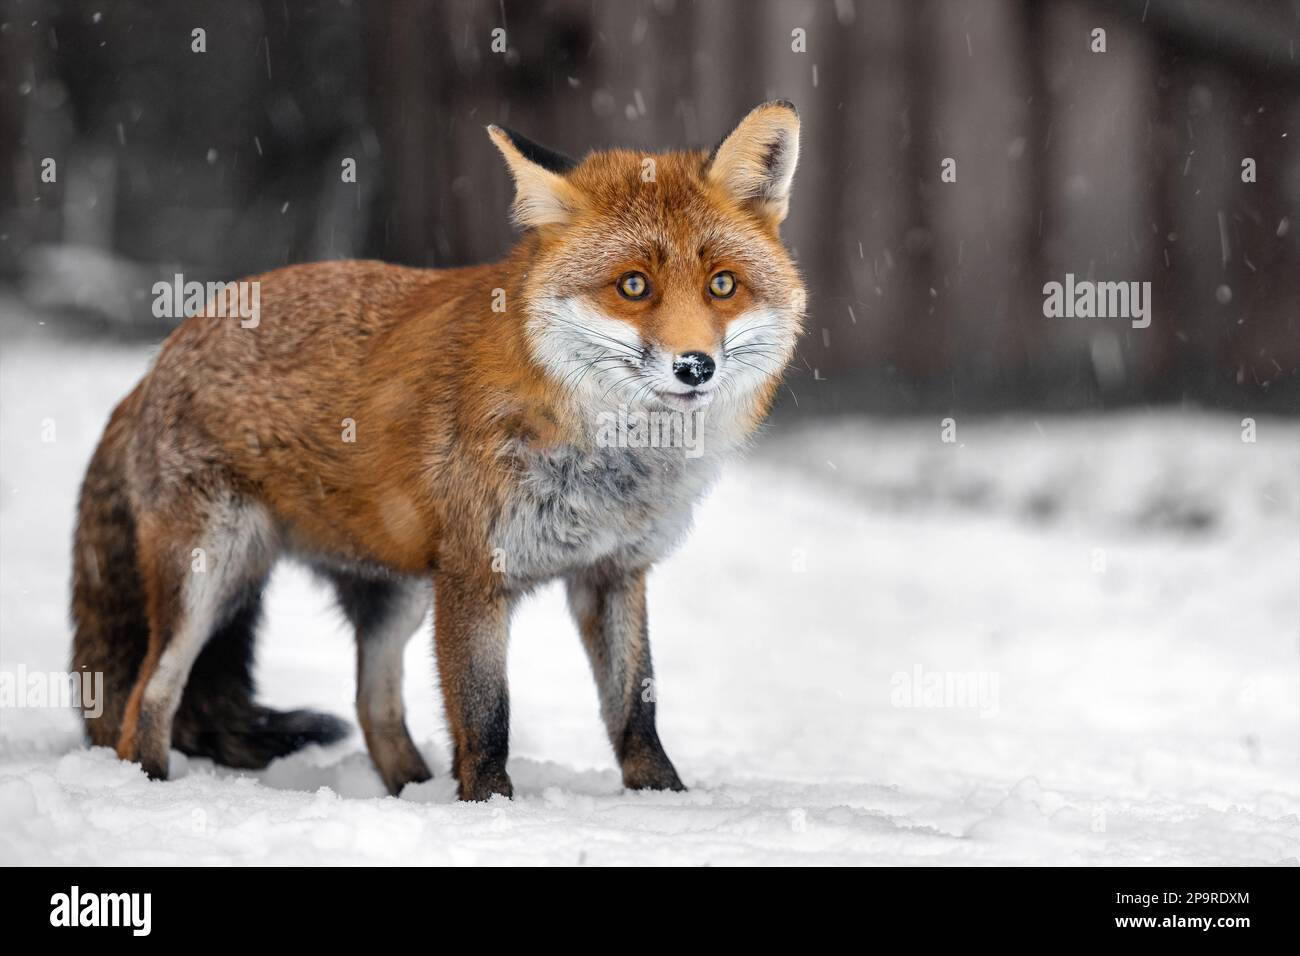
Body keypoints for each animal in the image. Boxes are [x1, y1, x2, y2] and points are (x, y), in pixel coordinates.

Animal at [70, 100, 805, 801]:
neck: (608, 455)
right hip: (211, 576)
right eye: (632, 286)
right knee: (148, 698)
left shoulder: (614, 573)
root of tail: (160, 355)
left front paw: (664, 801)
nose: (695, 367)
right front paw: (490, 808)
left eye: (721, 284)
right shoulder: (473, 576)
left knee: (373, 708)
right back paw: (152, 784)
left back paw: (415, 793)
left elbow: (635, 707)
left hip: (392, 597)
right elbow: (485, 718)